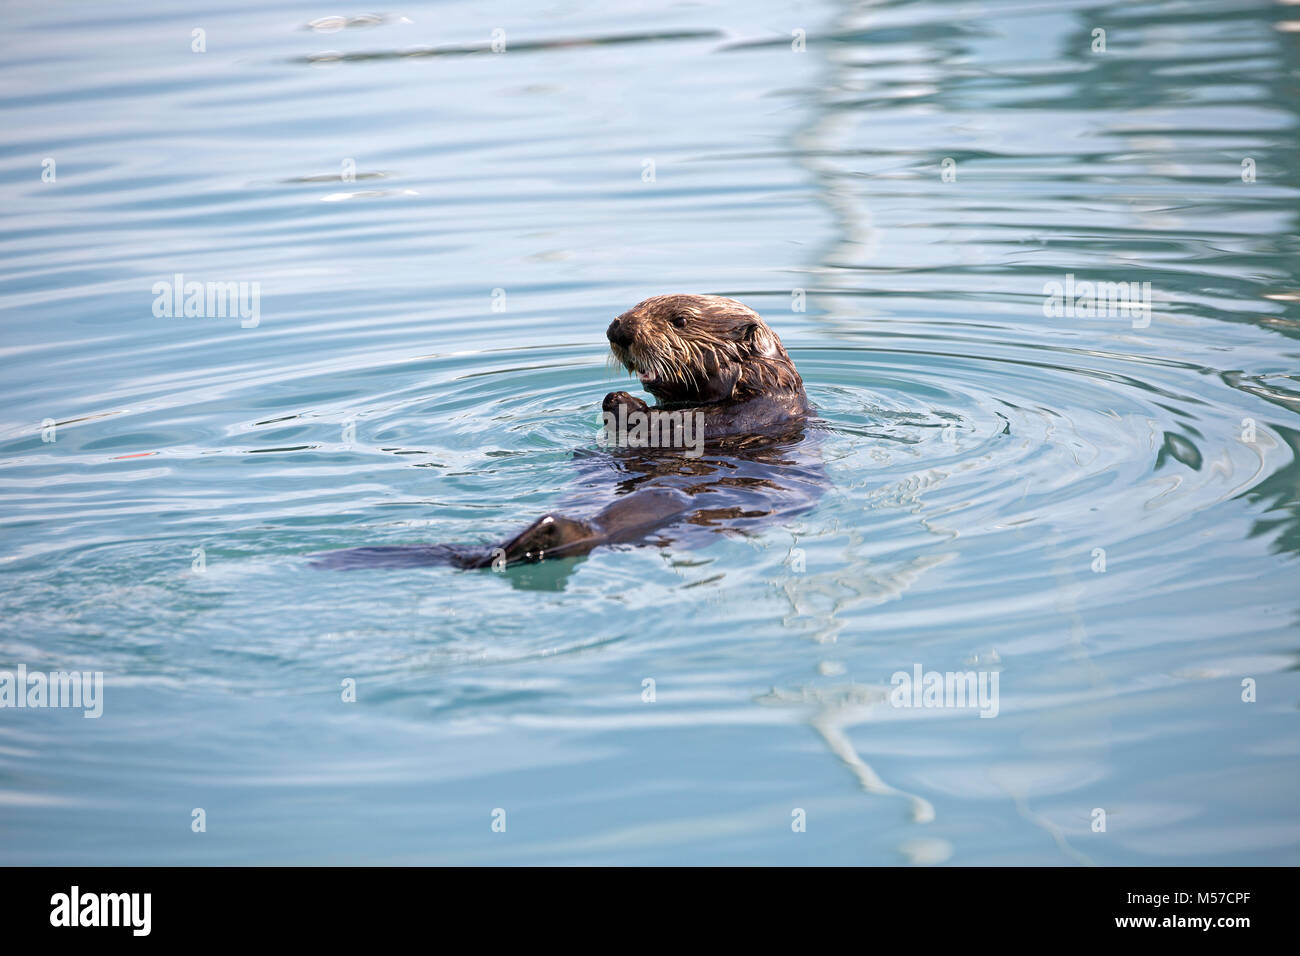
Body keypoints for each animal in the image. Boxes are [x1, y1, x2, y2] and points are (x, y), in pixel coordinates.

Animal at [314, 294, 823, 571]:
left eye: (679, 321)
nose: (619, 328)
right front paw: (617, 399)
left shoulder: (753, 411)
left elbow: (687, 424)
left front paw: (626, 401)